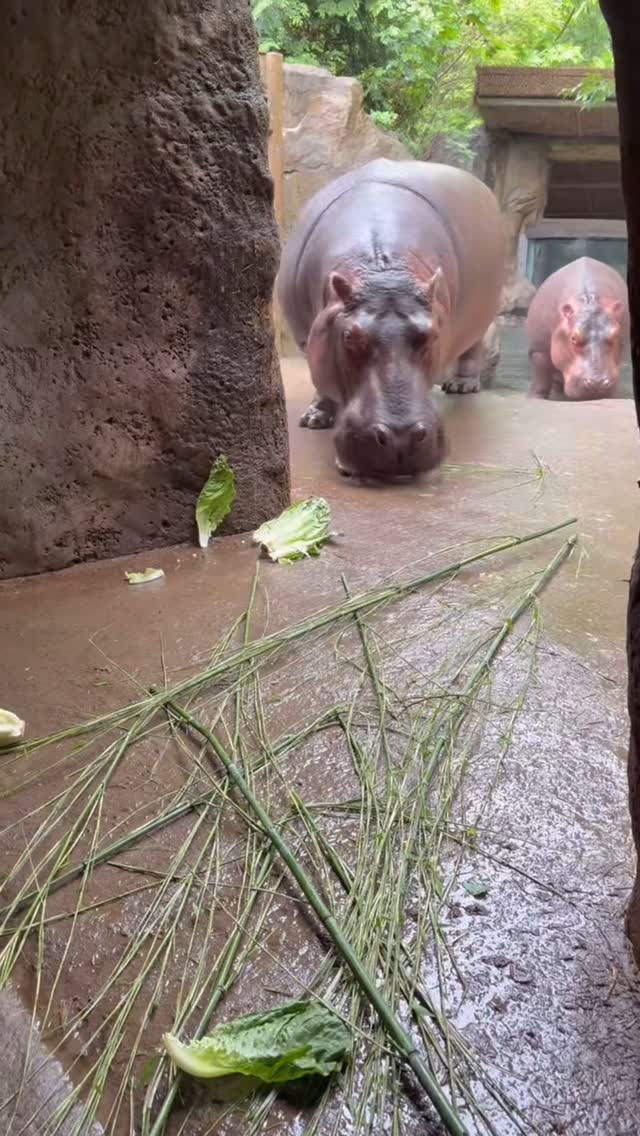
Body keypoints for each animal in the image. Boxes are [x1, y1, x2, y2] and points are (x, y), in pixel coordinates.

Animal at [277, 159, 506, 479]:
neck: (383, 271)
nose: (402, 438)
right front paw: (314, 418)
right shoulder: (307, 332)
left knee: (474, 346)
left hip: (485, 311)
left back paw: (462, 386)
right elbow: (320, 379)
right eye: (349, 336)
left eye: (432, 335)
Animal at [526, 256, 629, 400]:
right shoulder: (538, 349)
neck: (588, 300)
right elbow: (541, 376)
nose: (598, 383)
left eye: (615, 334)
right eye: (573, 338)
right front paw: (535, 398)